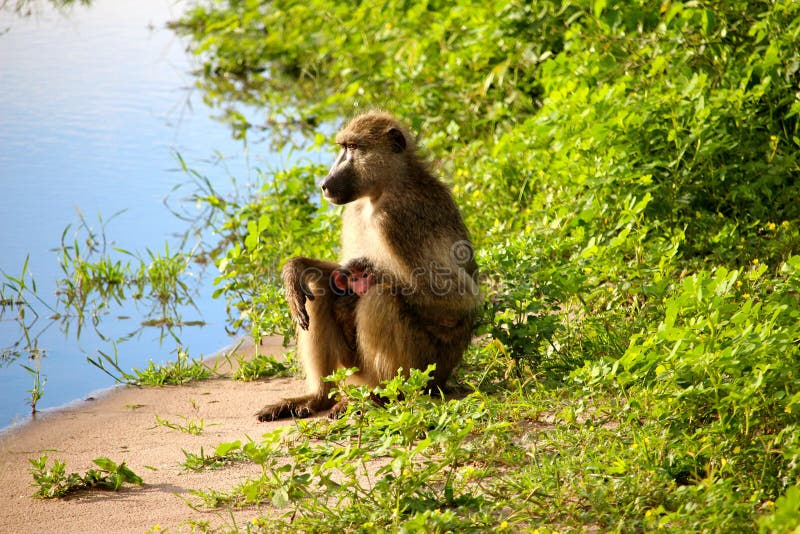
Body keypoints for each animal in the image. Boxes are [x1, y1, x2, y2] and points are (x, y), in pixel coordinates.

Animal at [256, 111, 481, 421]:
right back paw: (317, 397)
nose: (325, 184)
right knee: (317, 287)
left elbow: (459, 301)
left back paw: (379, 397)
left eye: (353, 148)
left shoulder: (396, 220)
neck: (384, 190)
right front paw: (297, 268)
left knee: (380, 297)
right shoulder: (353, 210)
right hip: (352, 366)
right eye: (343, 147)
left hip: (426, 370)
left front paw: (356, 291)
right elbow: (331, 274)